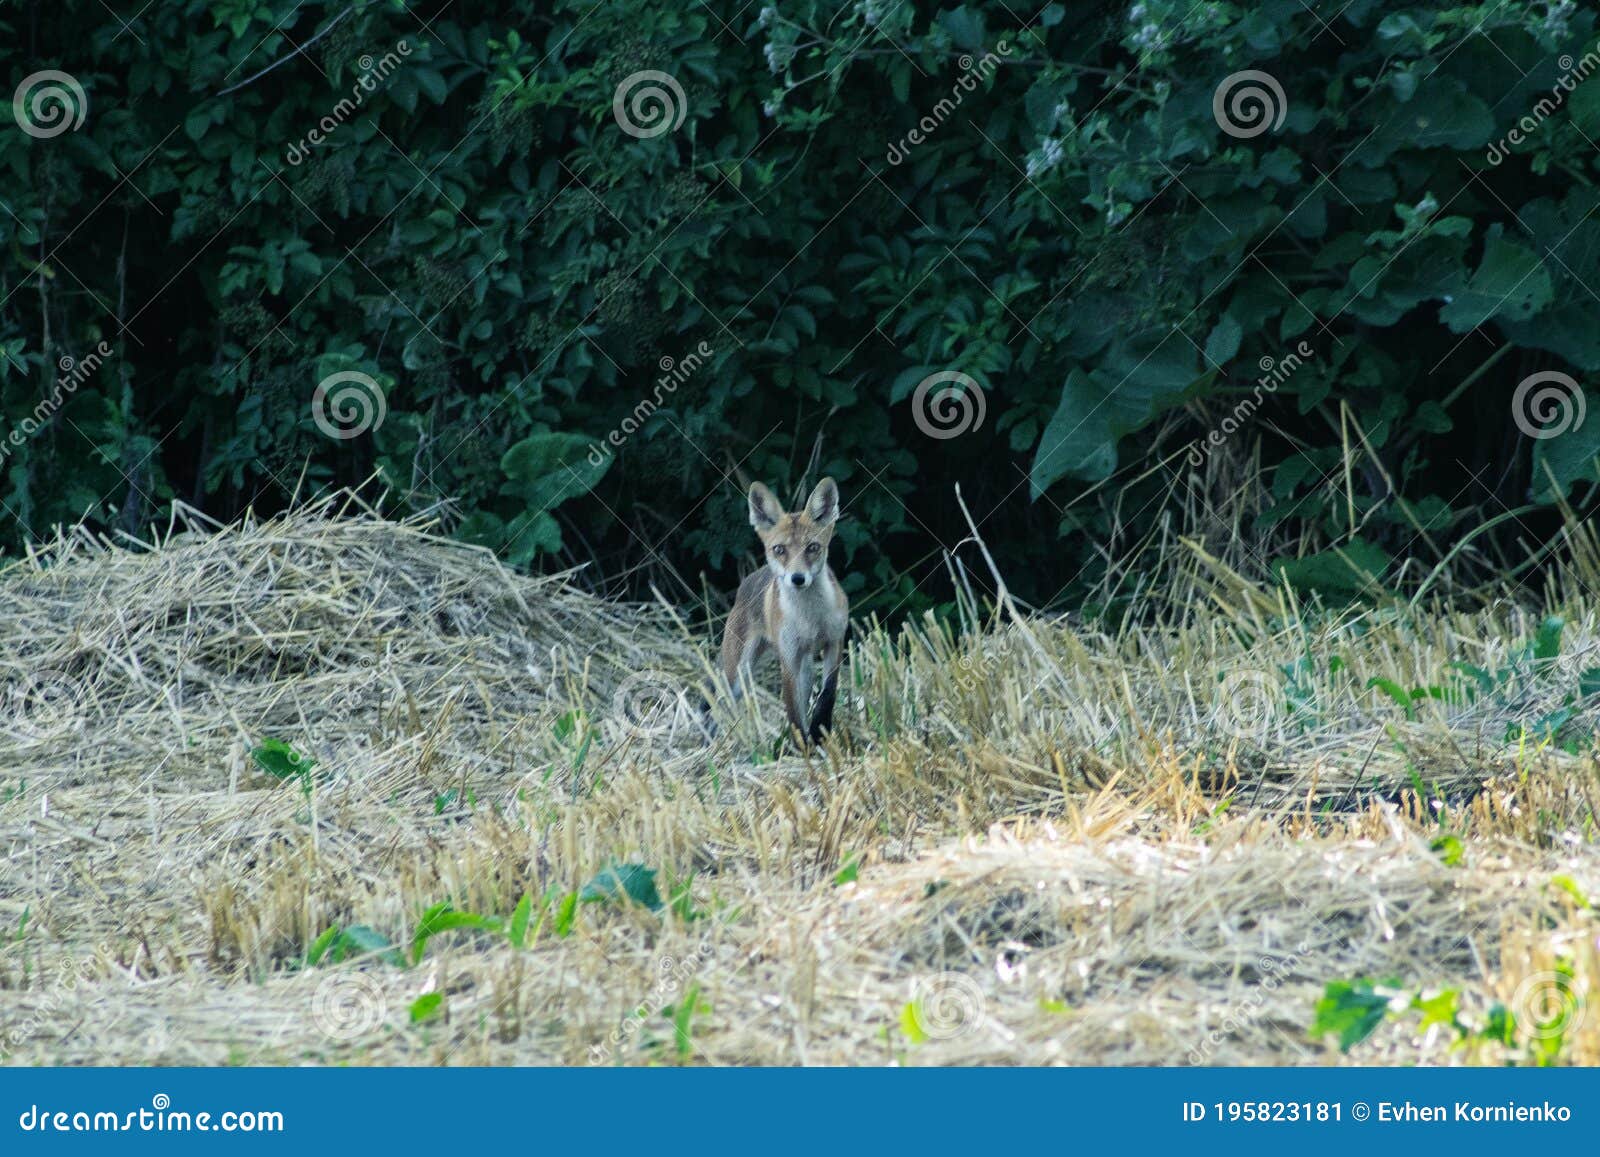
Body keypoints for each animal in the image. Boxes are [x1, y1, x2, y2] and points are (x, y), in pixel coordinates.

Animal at [719, 477, 849, 745]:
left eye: (812, 547)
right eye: (779, 549)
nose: (797, 578)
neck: (811, 619)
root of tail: (750, 578)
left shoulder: (834, 643)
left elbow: (827, 696)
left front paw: (820, 732)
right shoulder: (788, 659)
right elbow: (794, 715)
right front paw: (804, 749)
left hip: (806, 665)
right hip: (738, 673)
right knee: (714, 706)